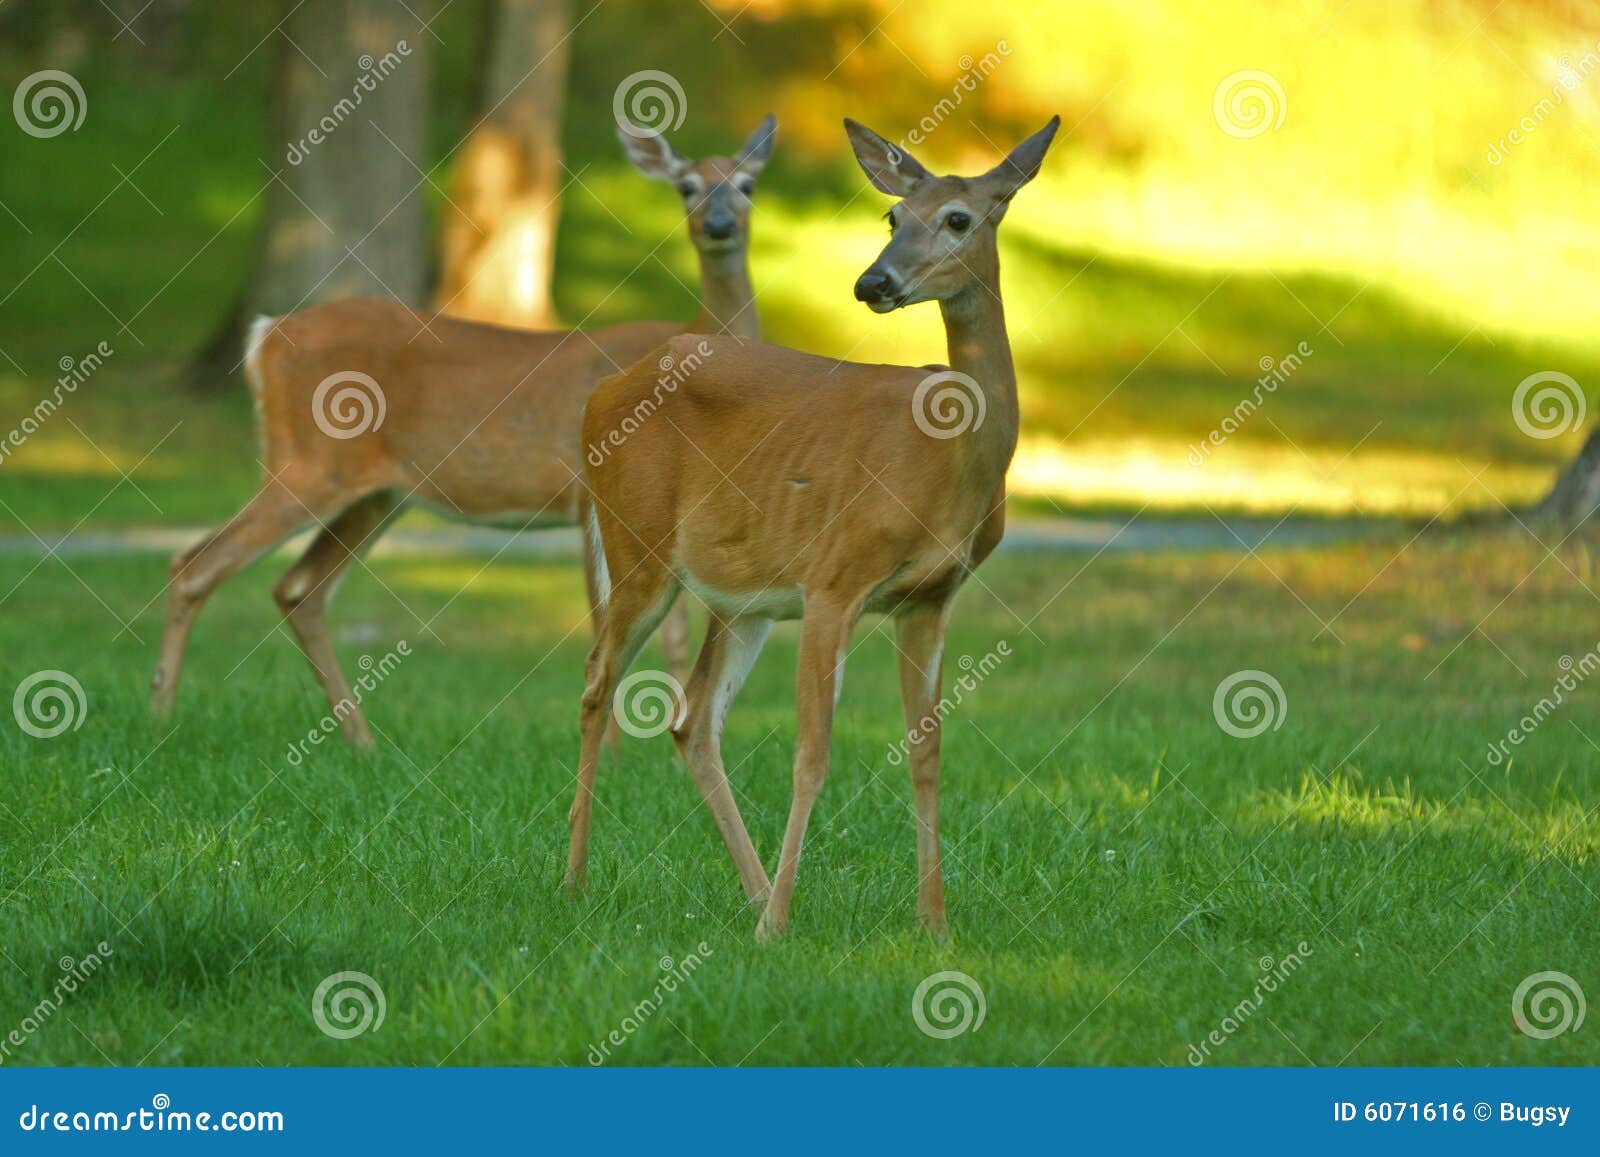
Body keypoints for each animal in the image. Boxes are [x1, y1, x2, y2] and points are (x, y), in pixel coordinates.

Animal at [149, 116, 777, 749]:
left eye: (748, 184)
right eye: (686, 186)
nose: (719, 226)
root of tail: (266, 336)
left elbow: (666, 628)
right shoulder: (590, 497)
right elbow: (611, 624)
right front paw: (622, 755)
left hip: (380, 494)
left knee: (298, 589)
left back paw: (361, 742)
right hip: (306, 462)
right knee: (197, 566)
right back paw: (163, 715)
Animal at [569, 115, 1059, 939]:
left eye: (959, 219)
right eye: (892, 215)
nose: (873, 283)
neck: (949, 460)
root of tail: (599, 395)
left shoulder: (929, 597)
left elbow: (927, 753)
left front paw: (935, 923)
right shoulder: (835, 578)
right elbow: (812, 754)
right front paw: (780, 928)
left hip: (742, 596)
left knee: (693, 718)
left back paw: (754, 891)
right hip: (639, 546)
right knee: (598, 682)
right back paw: (576, 879)